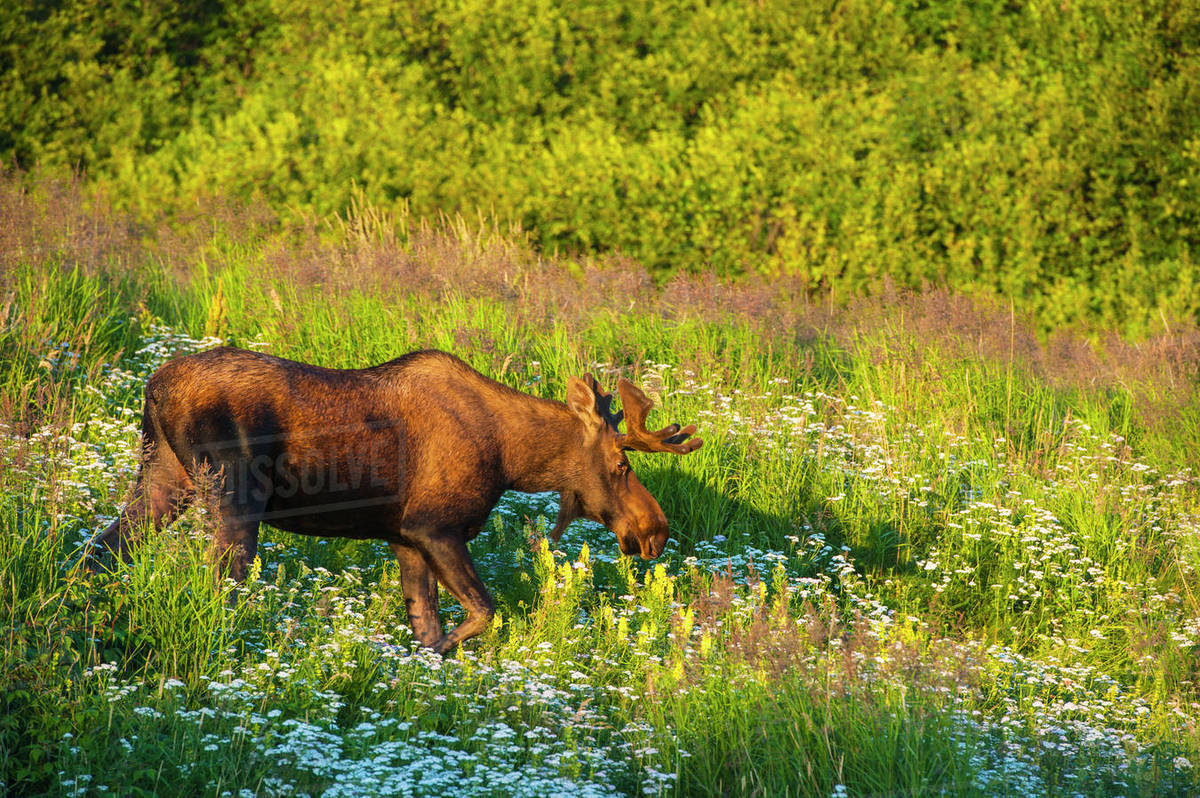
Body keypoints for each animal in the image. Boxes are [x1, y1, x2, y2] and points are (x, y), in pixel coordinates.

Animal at [90, 347, 702, 653]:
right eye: (621, 466)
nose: (656, 531)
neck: (513, 461)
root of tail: (153, 385)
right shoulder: (435, 526)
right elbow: (480, 614)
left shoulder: (404, 538)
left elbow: (429, 623)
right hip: (234, 497)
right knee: (221, 583)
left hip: (163, 477)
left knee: (103, 548)